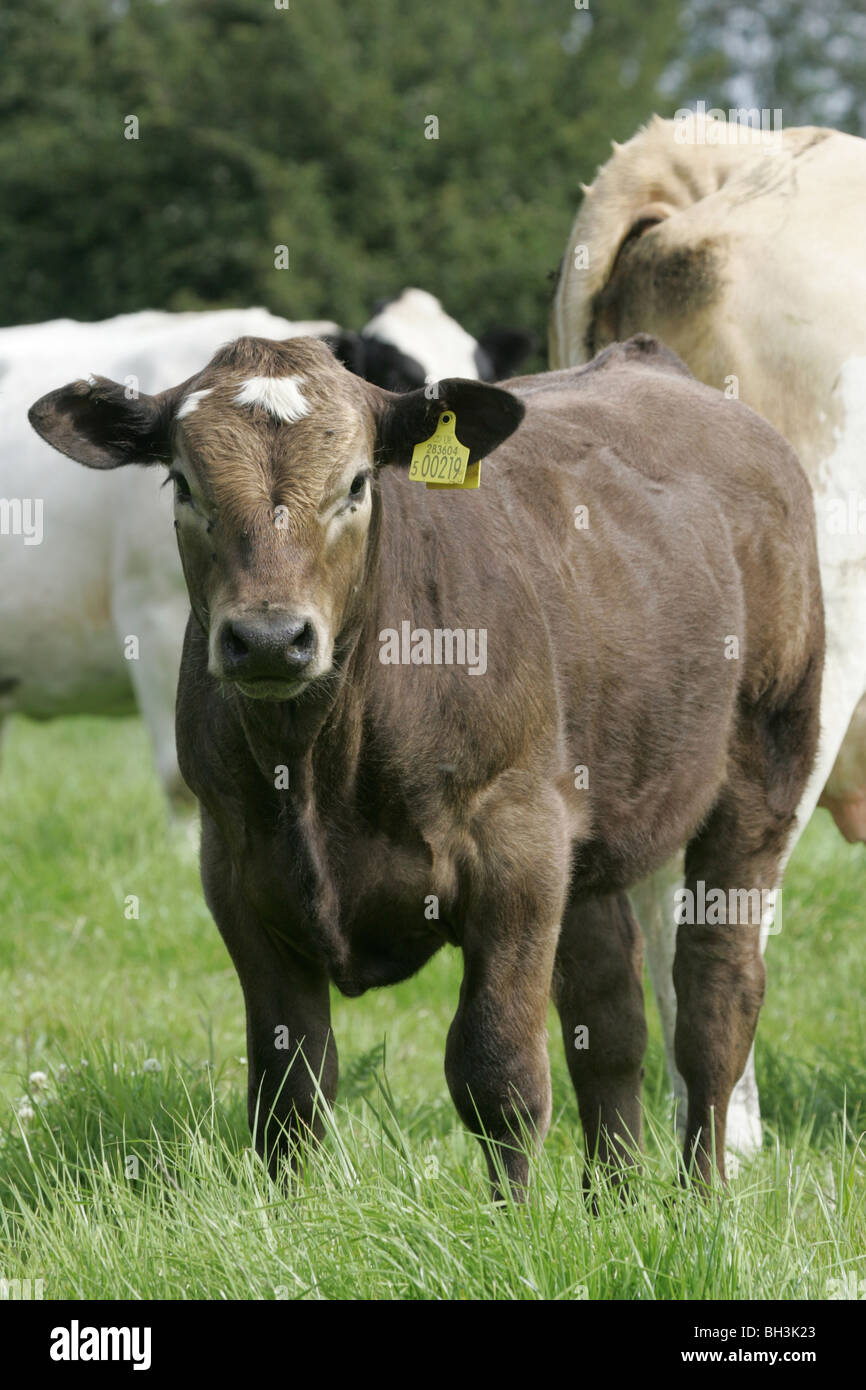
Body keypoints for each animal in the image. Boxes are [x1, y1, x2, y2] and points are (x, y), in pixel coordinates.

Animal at [29, 331, 823, 1196]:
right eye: (182, 483)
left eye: (355, 484)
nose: (270, 639)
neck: (317, 764)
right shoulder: (236, 870)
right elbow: (289, 1086)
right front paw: (286, 1216)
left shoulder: (515, 848)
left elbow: (497, 1071)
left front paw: (516, 1220)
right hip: (587, 826)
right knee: (610, 1014)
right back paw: (611, 1200)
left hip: (764, 769)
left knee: (715, 997)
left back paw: (698, 1198)